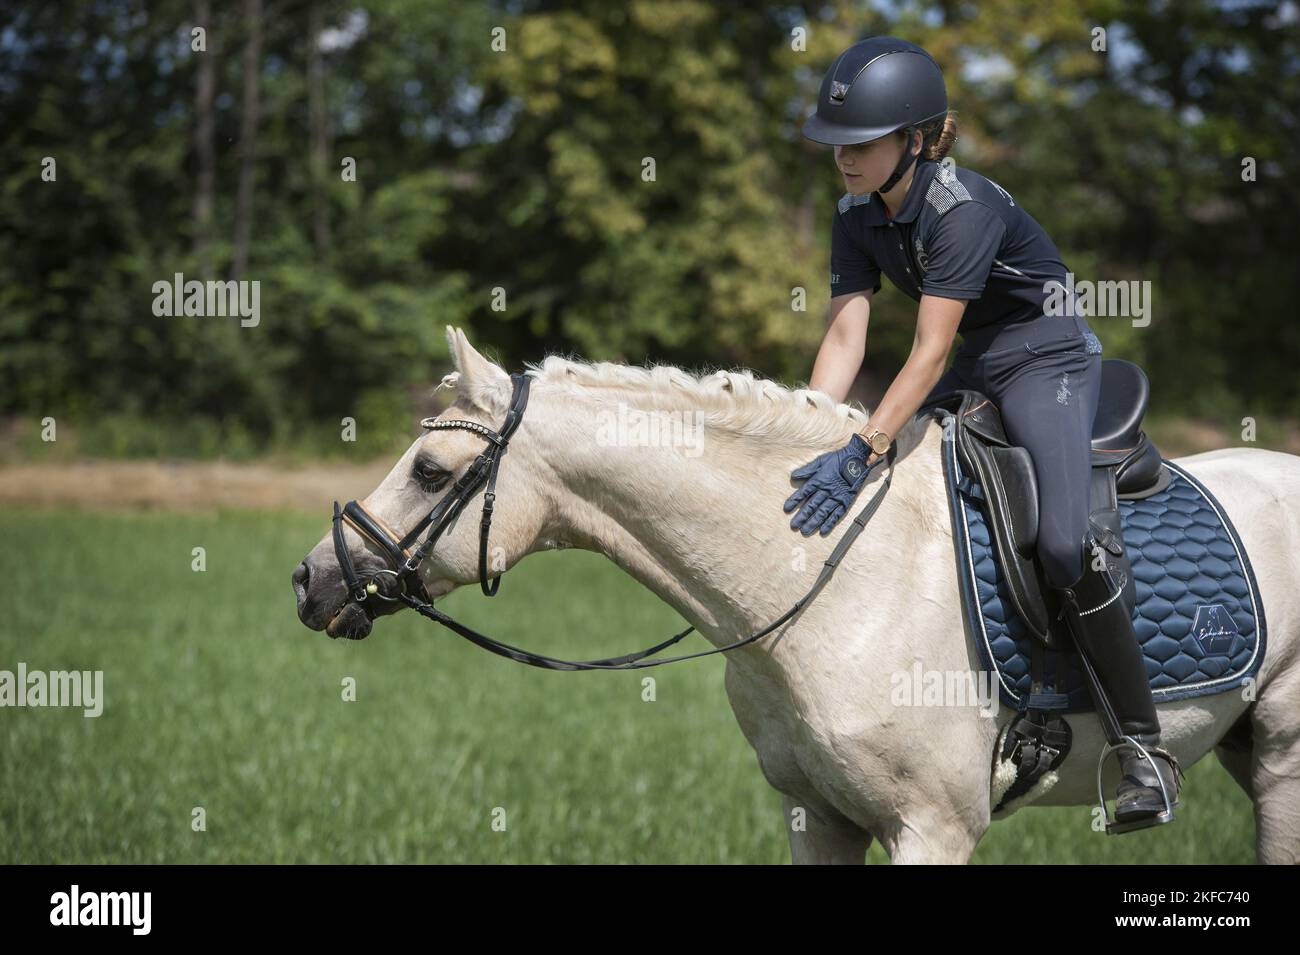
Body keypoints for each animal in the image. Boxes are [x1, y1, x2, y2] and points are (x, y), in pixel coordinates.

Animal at [292, 326, 1300, 863]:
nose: (312, 579)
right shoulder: (816, 813)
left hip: (1283, 753)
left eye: (429, 470)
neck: (825, 580)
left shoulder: (934, 827)